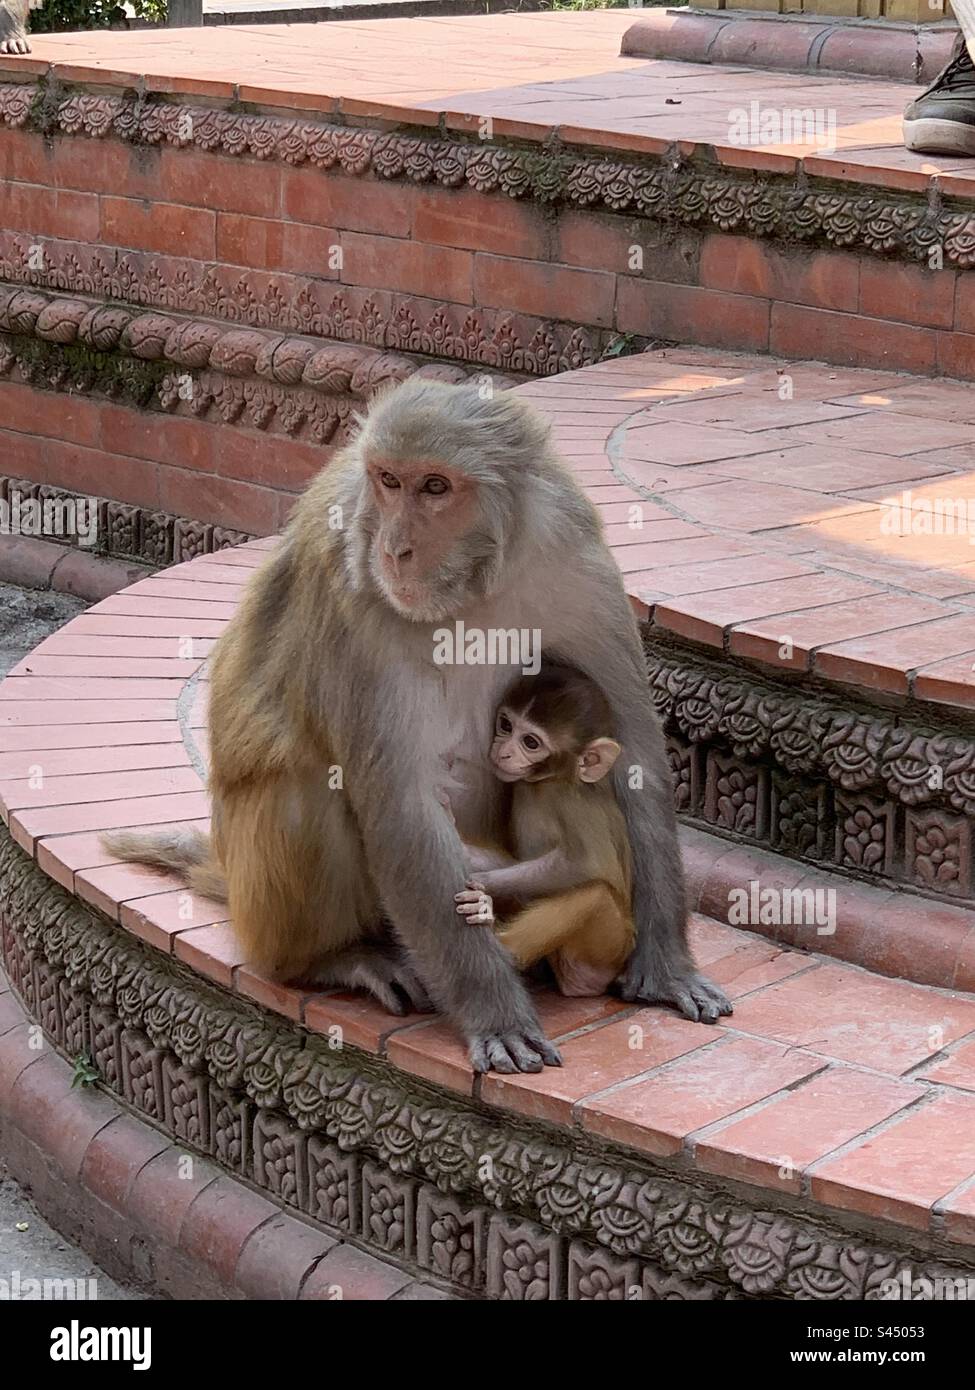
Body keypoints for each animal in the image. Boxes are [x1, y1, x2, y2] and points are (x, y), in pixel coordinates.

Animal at [454, 662, 635, 997]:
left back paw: (501, 942)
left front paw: (483, 882)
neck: (547, 783)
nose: (503, 751)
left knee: (594, 892)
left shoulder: (572, 805)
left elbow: (585, 862)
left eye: (530, 743)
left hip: (610, 948)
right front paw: (467, 853)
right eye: (506, 725)